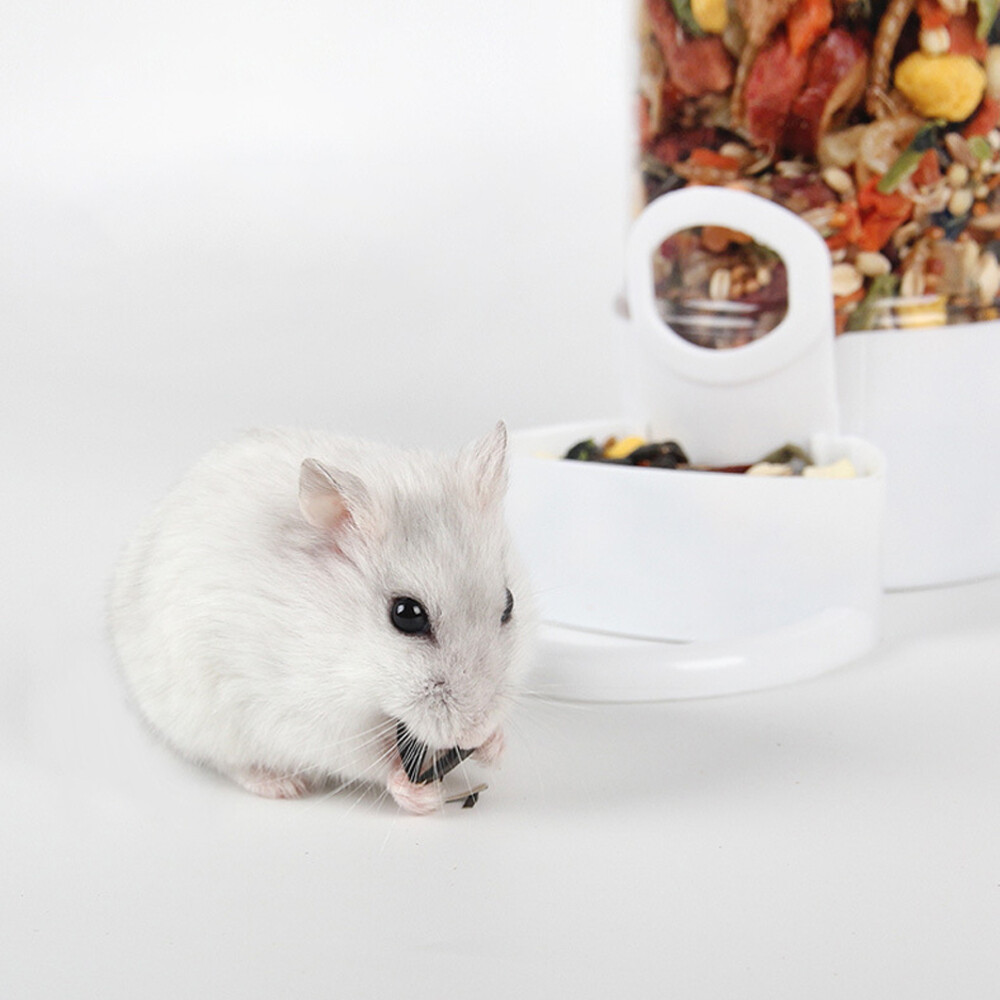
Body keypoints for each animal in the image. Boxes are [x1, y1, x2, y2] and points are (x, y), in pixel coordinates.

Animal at [108, 423, 535, 814]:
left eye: (509, 603)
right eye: (406, 615)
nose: (474, 728)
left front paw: (493, 746)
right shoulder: (309, 719)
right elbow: (371, 761)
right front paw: (424, 796)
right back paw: (283, 786)